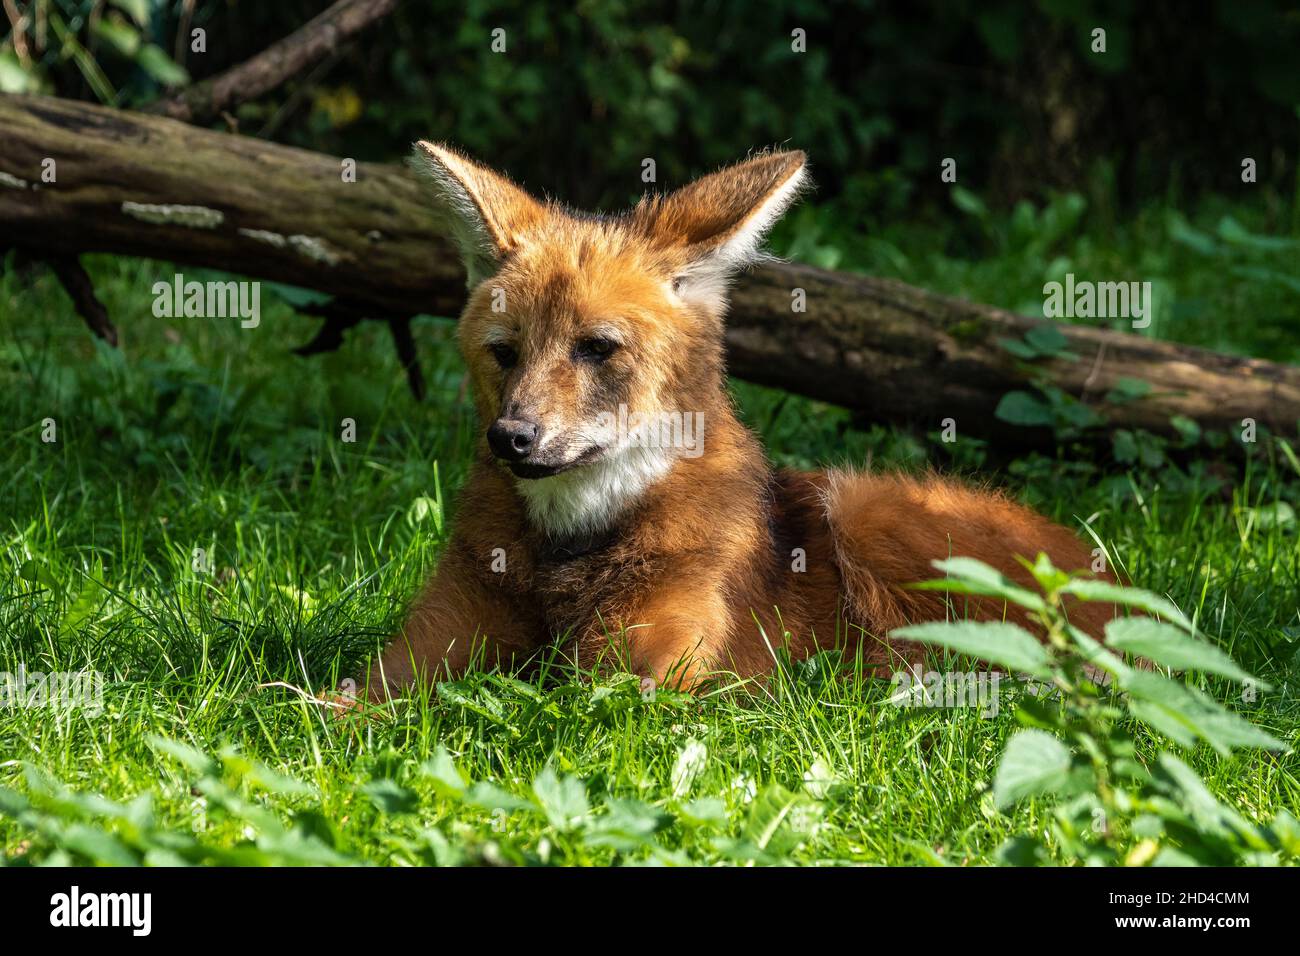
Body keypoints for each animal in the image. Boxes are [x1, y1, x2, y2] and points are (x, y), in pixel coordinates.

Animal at [364, 143, 1116, 698]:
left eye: (596, 348)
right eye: (505, 353)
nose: (512, 437)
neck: (569, 547)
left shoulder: (651, 671)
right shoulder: (432, 641)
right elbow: (356, 706)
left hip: (861, 504)